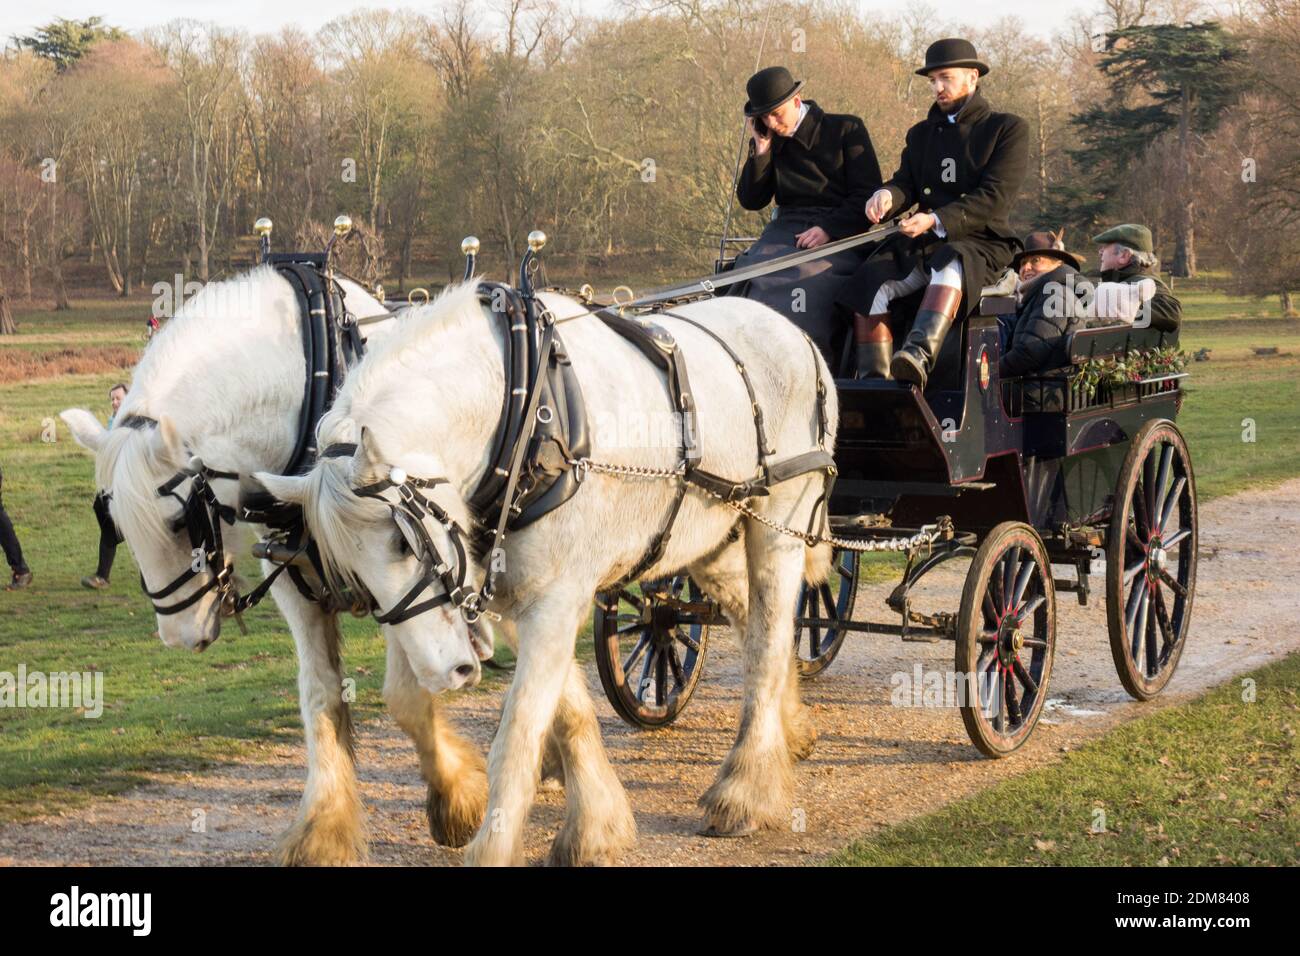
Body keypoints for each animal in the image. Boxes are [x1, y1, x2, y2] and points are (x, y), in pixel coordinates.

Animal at [59, 266, 491, 864]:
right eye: (117, 524)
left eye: (179, 521)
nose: (177, 636)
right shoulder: (294, 582)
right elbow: (320, 694)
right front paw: (324, 828)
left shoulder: (399, 577)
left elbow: (406, 694)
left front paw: (457, 800)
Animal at [257, 281, 838, 865]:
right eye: (348, 571)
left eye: (403, 540)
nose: (446, 674)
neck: (527, 415)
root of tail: (796, 333)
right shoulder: (514, 598)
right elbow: (567, 713)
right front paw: (596, 827)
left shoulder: (556, 596)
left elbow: (519, 729)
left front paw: (495, 846)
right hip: (712, 540)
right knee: (750, 621)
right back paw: (790, 730)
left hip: (780, 525)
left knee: (768, 639)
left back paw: (745, 789)